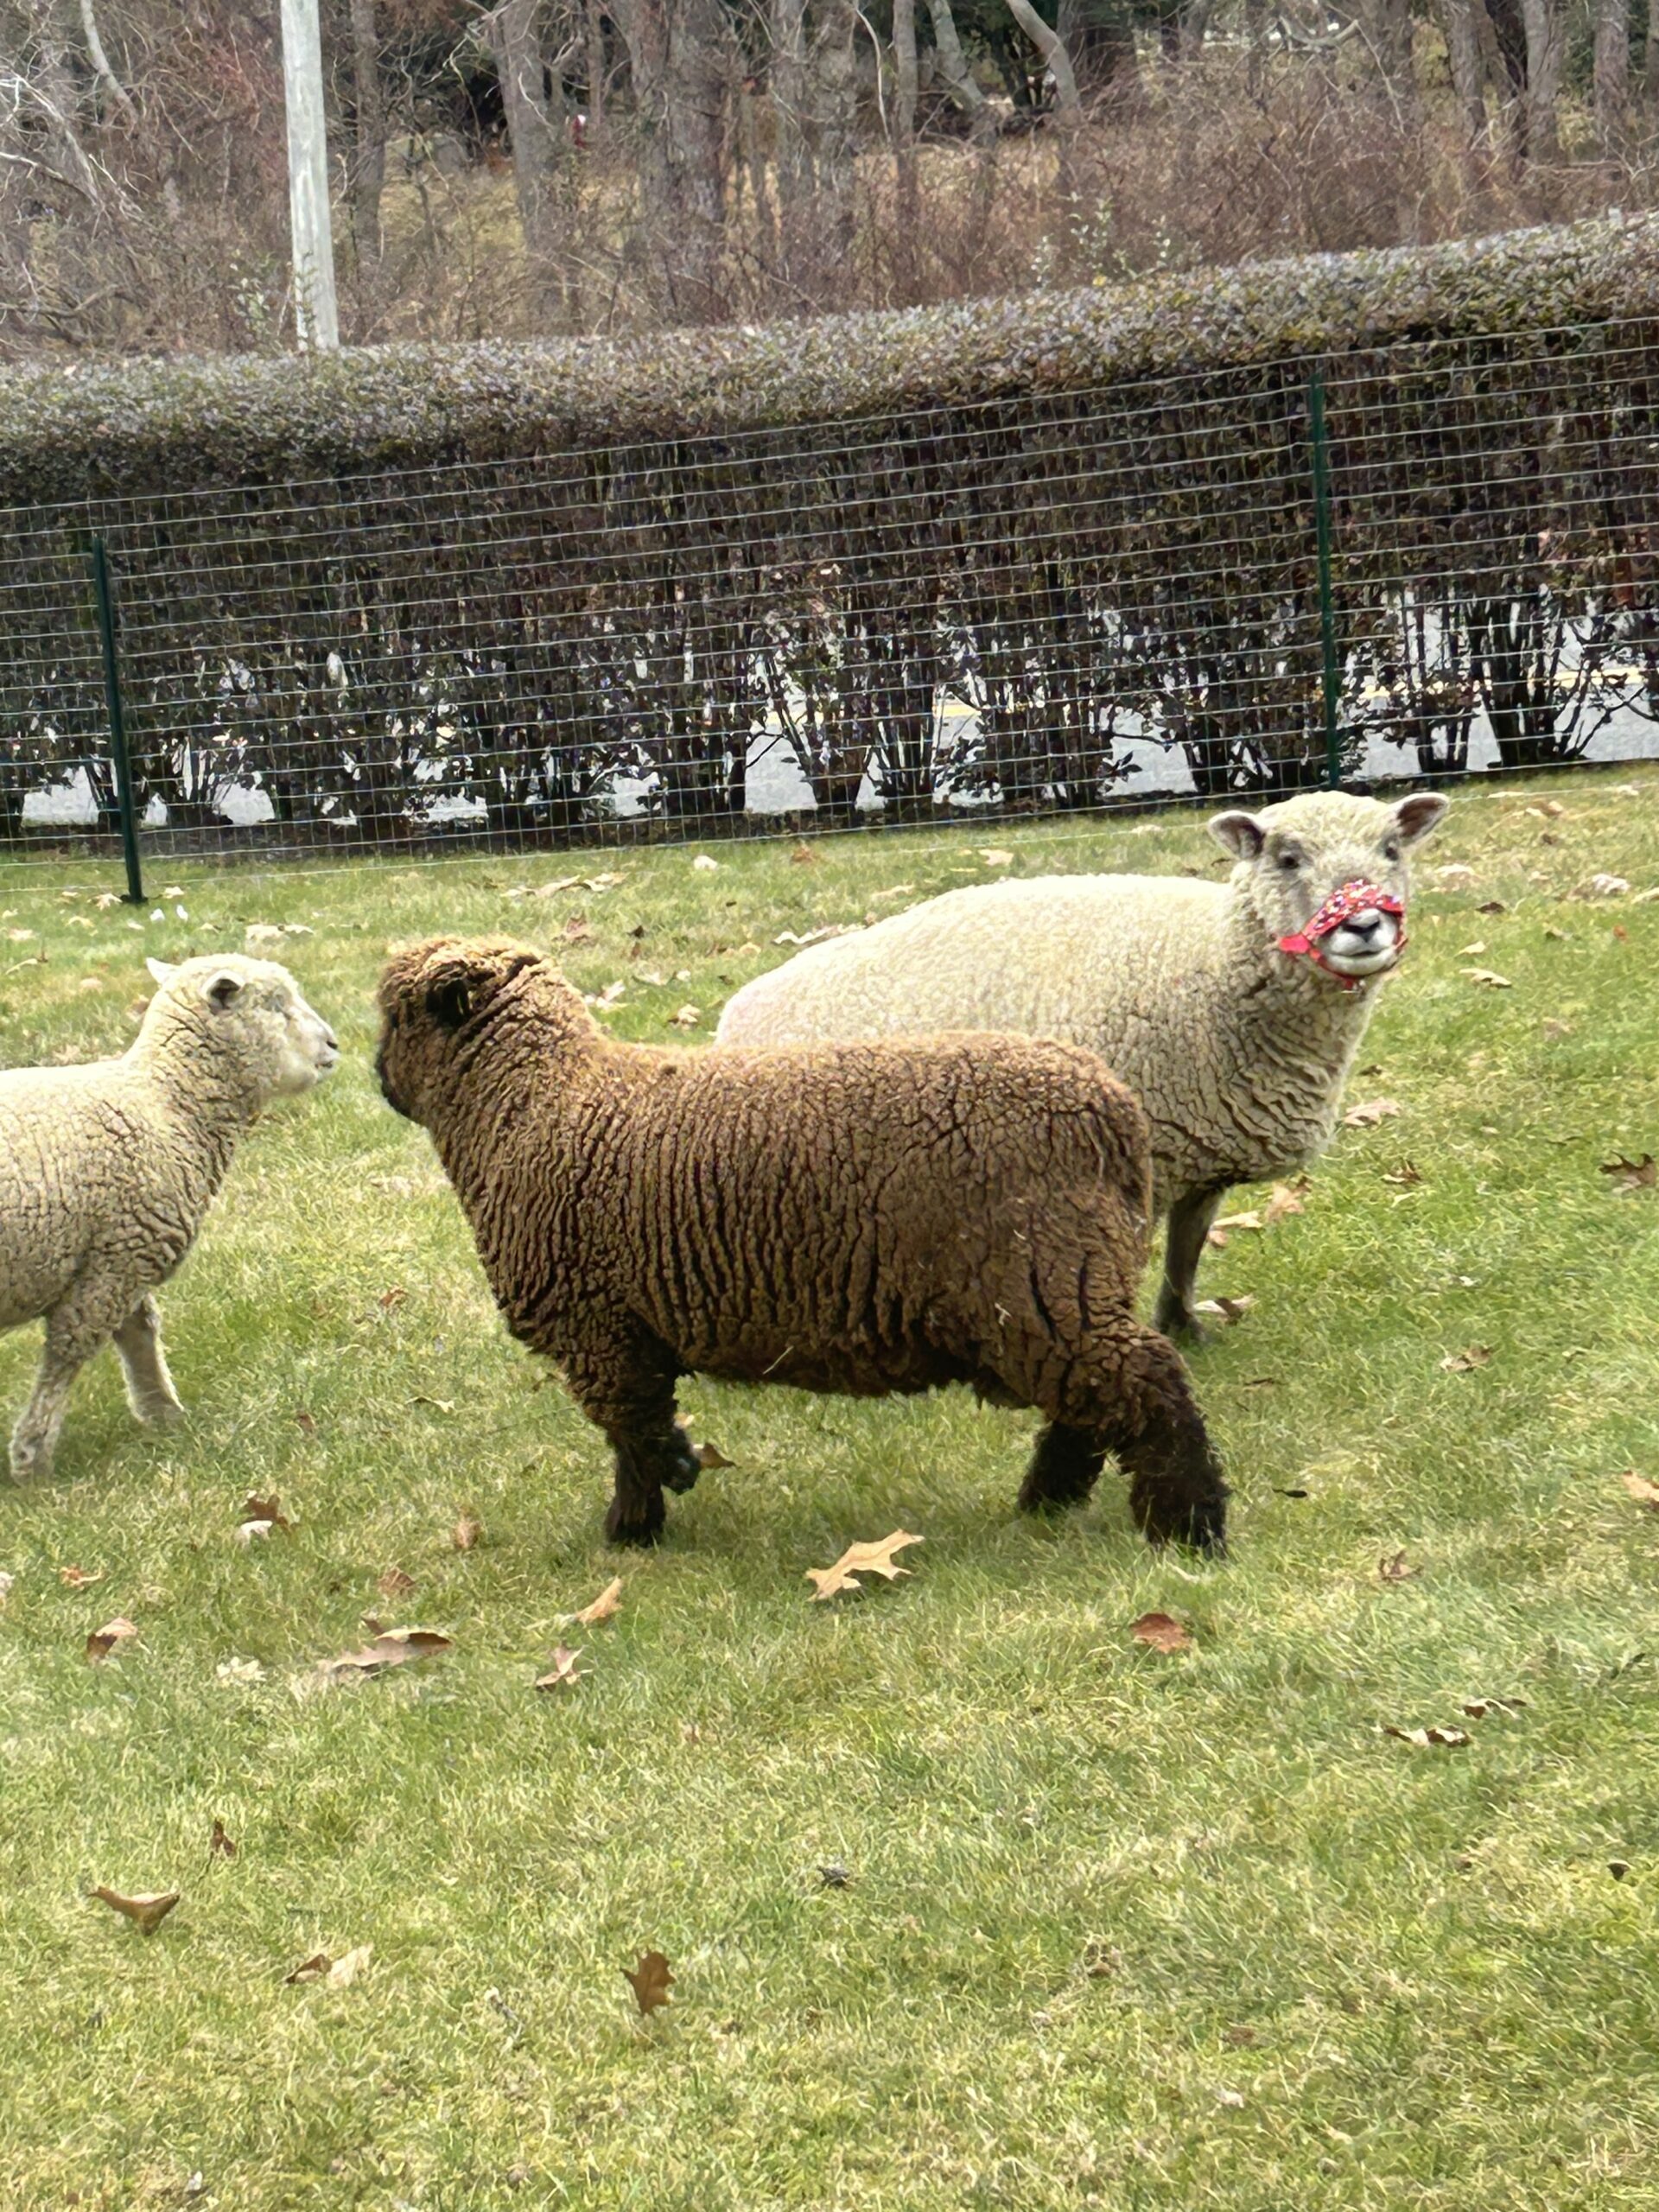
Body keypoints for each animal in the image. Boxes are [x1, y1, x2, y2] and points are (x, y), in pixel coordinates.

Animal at [1, 954, 338, 1480]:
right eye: (274, 1004)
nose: (333, 1045)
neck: (168, 1104)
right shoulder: (114, 1260)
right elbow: (70, 1351)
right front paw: (32, 1456)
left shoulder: (126, 1251)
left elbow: (140, 1331)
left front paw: (163, 1413)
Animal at [374, 936, 1229, 1553]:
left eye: (394, 1017)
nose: (376, 1075)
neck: (531, 1104)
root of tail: (1113, 1112)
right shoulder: (625, 1331)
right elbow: (641, 1425)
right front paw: (665, 1488)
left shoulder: (599, 1329)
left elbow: (631, 1434)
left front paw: (634, 1527)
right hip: (1056, 1288)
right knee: (1090, 1405)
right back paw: (1048, 1503)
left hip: (1038, 1281)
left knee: (1145, 1382)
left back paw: (1191, 1528)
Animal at [716, 790, 1449, 1338]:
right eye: (1288, 857)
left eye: (1391, 850)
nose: (1364, 927)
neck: (1209, 963)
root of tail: (735, 1013)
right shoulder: (1139, 1154)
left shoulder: (1201, 1154)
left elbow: (1186, 1252)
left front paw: (1185, 1329)